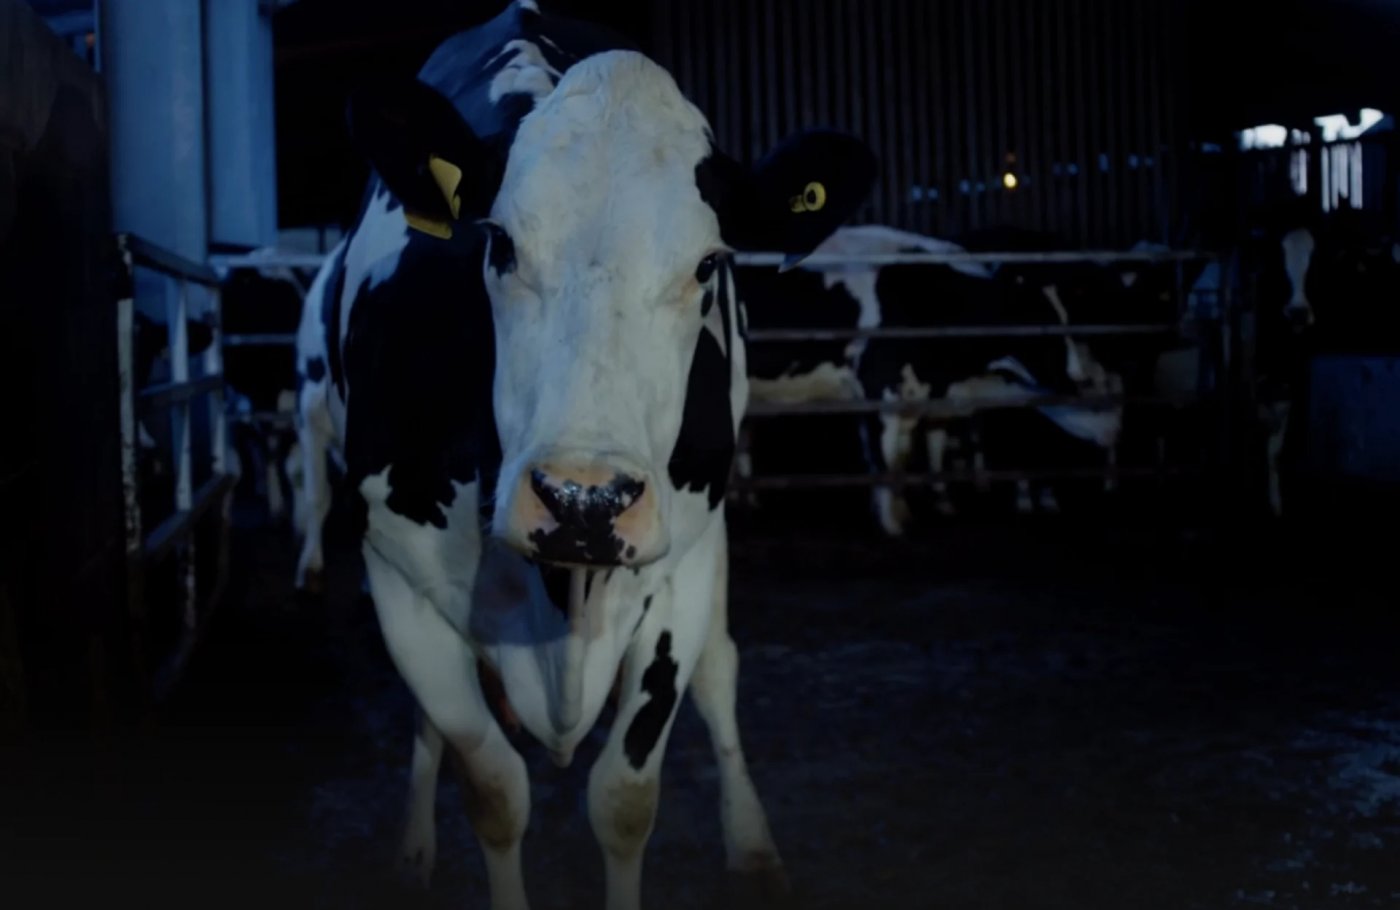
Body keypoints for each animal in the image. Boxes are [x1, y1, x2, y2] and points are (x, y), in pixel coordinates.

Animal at [291, 3, 876, 907]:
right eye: (498, 244)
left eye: (708, 264)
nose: (582, 500)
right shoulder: (398, 575)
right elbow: (492, 786)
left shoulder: (676, 574)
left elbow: (624, 799)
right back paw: (412, 853)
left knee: (721, 672)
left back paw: (753, 847)